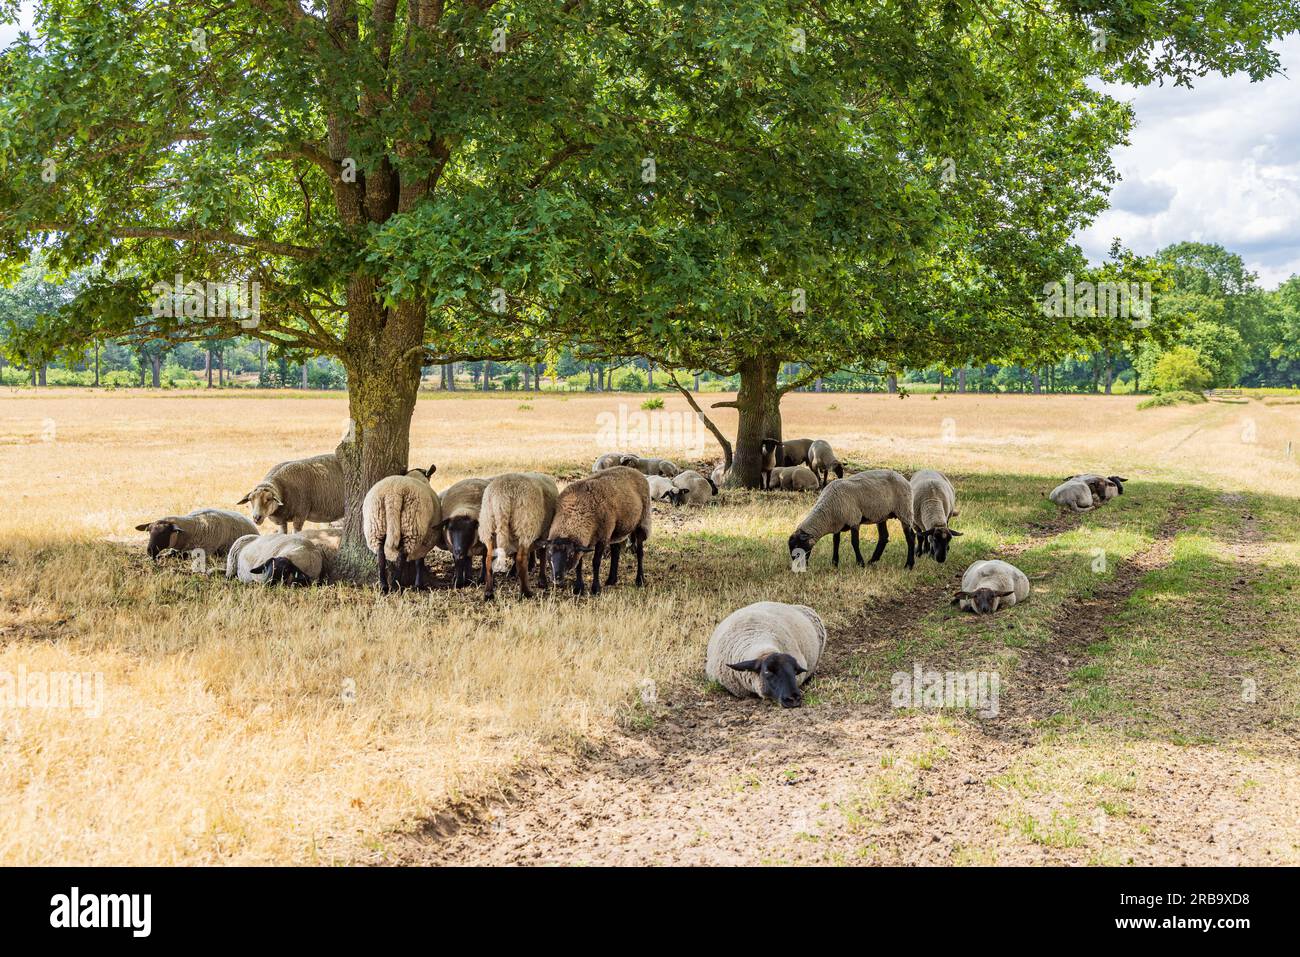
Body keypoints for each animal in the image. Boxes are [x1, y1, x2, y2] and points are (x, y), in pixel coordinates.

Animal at [362, 465, 441, 593]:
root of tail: (393, 494)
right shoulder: (426, 539)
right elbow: (419, 562)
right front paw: (418, 585)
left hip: (375, 524)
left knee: (380, 557)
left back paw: (384, 586)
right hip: (412, 525)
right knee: (401, 557)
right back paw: (396, 586)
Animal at [541, 466, 651, 596]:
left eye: (570, 554)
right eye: (549, 552)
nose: (556, 578)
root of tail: (633, 469)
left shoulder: (602, 537)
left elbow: (596, 562)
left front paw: (596, 588)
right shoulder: (584, 541)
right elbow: (579, 564)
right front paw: (578, 588)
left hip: (641, 521)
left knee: (640, 553)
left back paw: (640, 580)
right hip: (615, 531)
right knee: (616, 551)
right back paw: (611, 579)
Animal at [787, 468, 916, 571]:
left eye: (798, 547)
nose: (797, 567)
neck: (827, 514)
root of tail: (903, 478)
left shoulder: (854, 520)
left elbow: (854, 542)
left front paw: (860, 563)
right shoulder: (838, 525)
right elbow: (836, 542)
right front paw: (834, 563)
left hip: (904, 510)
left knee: (910, 537)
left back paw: (909, 565)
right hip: (881, 514)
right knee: (884, 537)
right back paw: (872, 561)